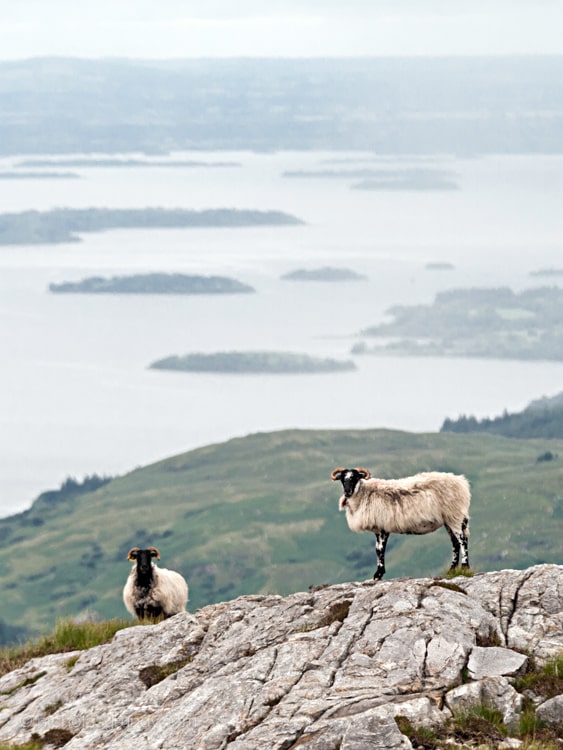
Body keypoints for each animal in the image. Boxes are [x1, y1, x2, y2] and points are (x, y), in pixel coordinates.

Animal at [331, 467, 470, 580]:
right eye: (342, 479)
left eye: (355, 478)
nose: (347, 492)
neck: (364, 494)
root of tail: (461, 482)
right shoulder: (378, 528)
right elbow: (377, 549)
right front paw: (378, 574)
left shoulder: (383, 528)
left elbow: (380, 550)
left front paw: (378, 574)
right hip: (448, 519)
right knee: (455, 543)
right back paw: (451, 570)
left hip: (455, 515)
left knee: (462, 540)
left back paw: (465, 567)